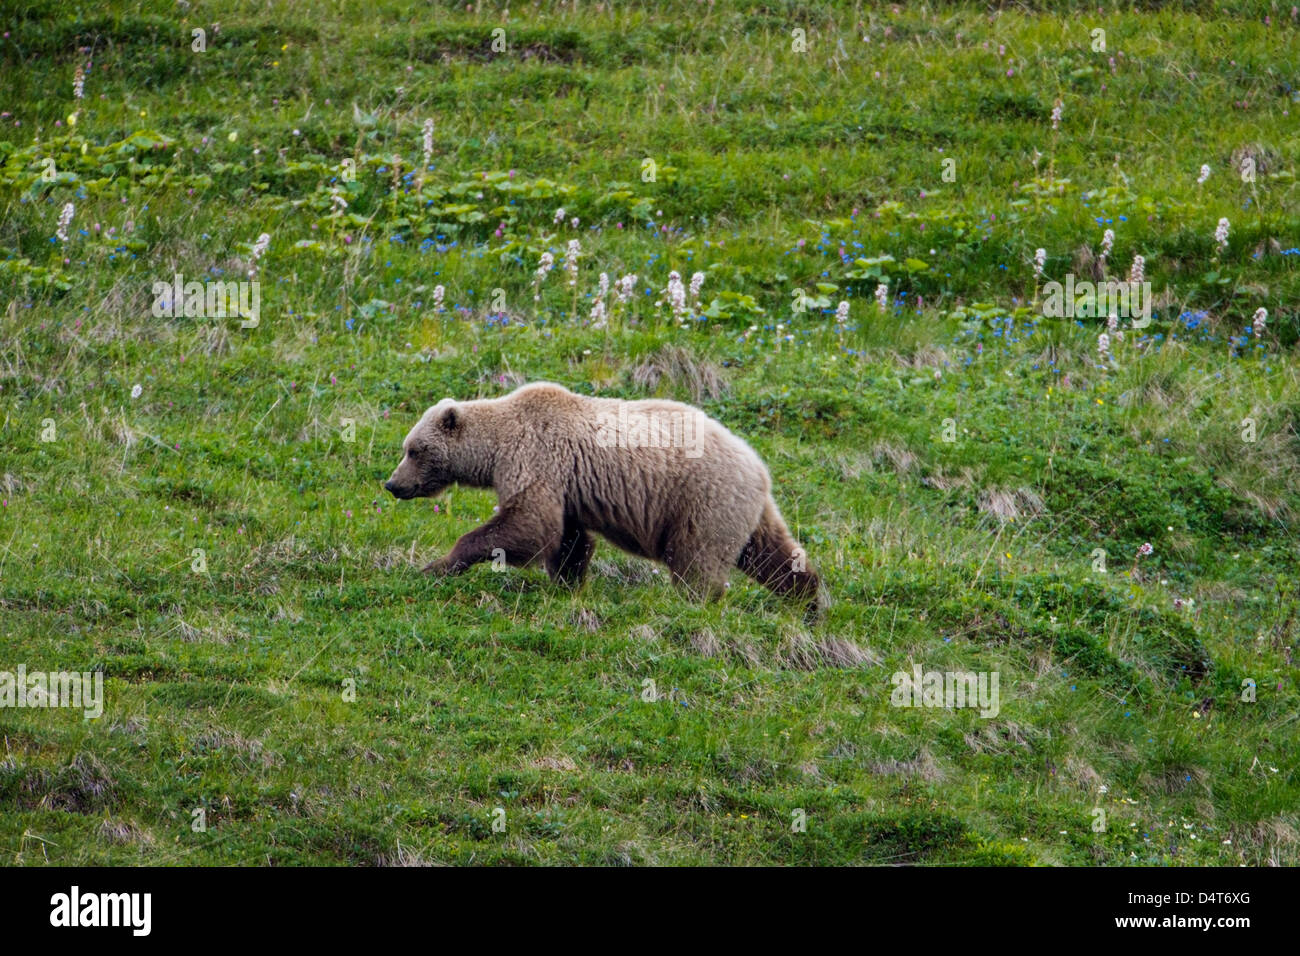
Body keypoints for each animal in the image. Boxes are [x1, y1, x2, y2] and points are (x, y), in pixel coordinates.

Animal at [383, 382, 822, 611]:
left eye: (414, 450)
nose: (392, 484)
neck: (495, 448)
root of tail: (758, 466)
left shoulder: (537, 459)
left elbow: (526, 522)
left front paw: (438, 565)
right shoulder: (567, 487)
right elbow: (568, 538)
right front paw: (568, 584)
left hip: (703, 502)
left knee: (697, 563)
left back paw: (693, 605)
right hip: (745, 510)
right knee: (773, 555)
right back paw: (809, 601)